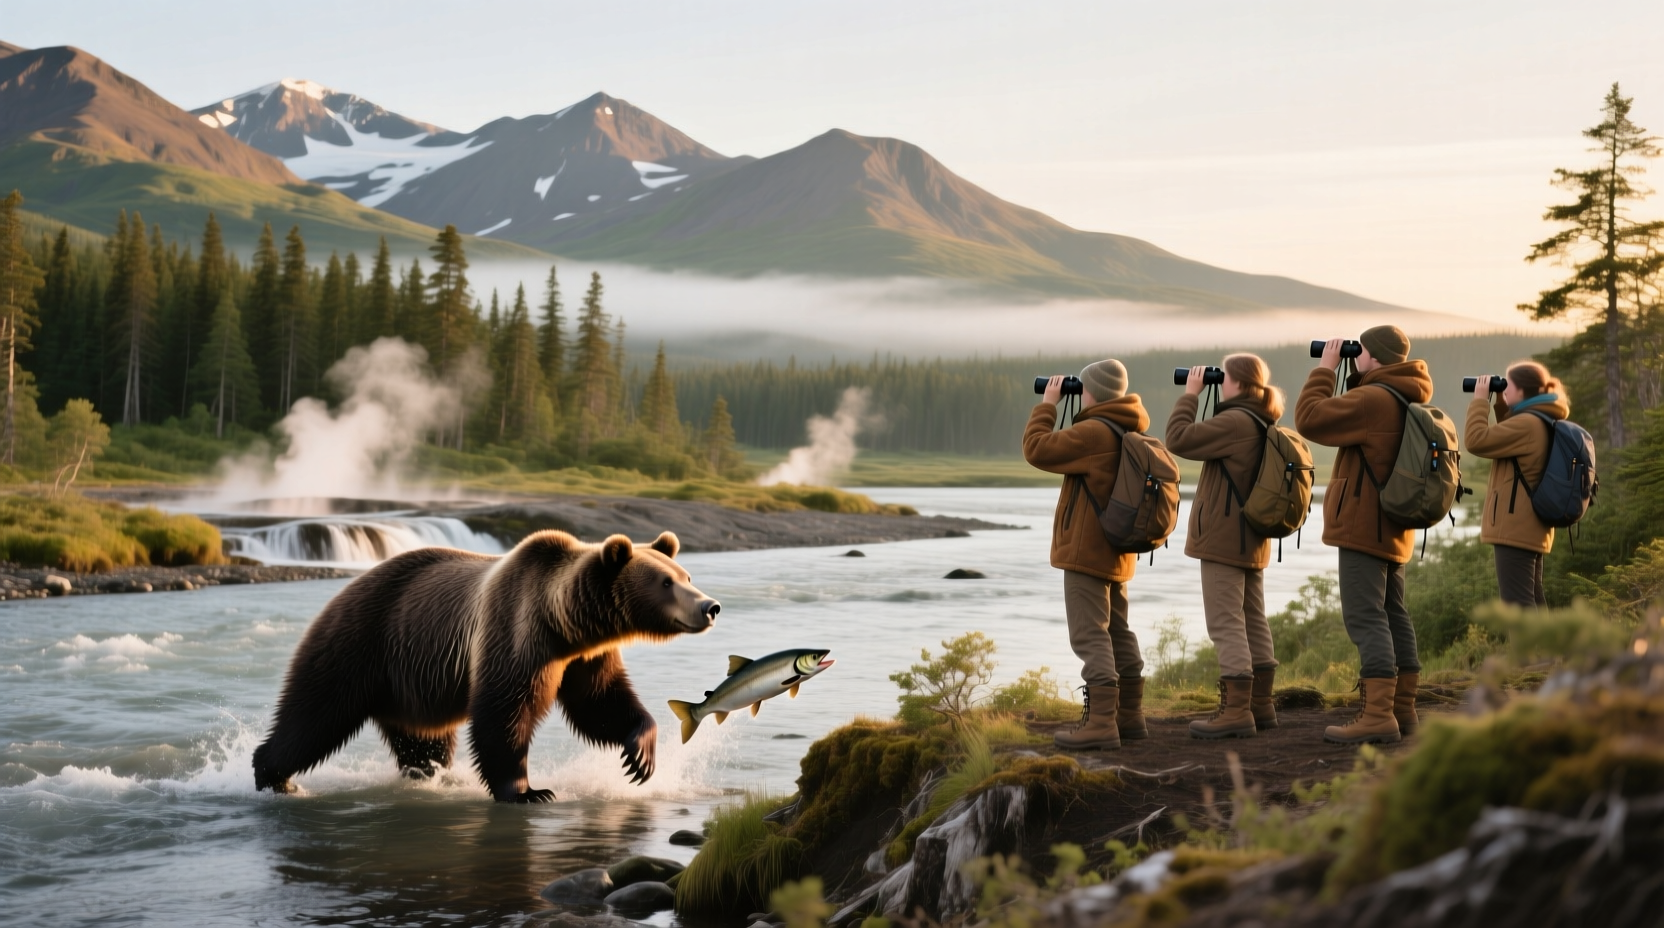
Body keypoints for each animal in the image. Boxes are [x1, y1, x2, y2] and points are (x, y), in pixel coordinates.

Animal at [251, 529, 718, 802]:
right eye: (665, 582)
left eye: (686, 575)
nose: (709, 606)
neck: (565, 623)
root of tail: (342, 589)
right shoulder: (516, 632)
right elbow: (503, 712)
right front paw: (528, 790)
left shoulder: (583, 657)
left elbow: (602, 702)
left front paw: (641, 756)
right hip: (360, 644)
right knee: (315, 714)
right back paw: (274, 775)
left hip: (410, 681)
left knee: (422, 738)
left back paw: (434, 775)